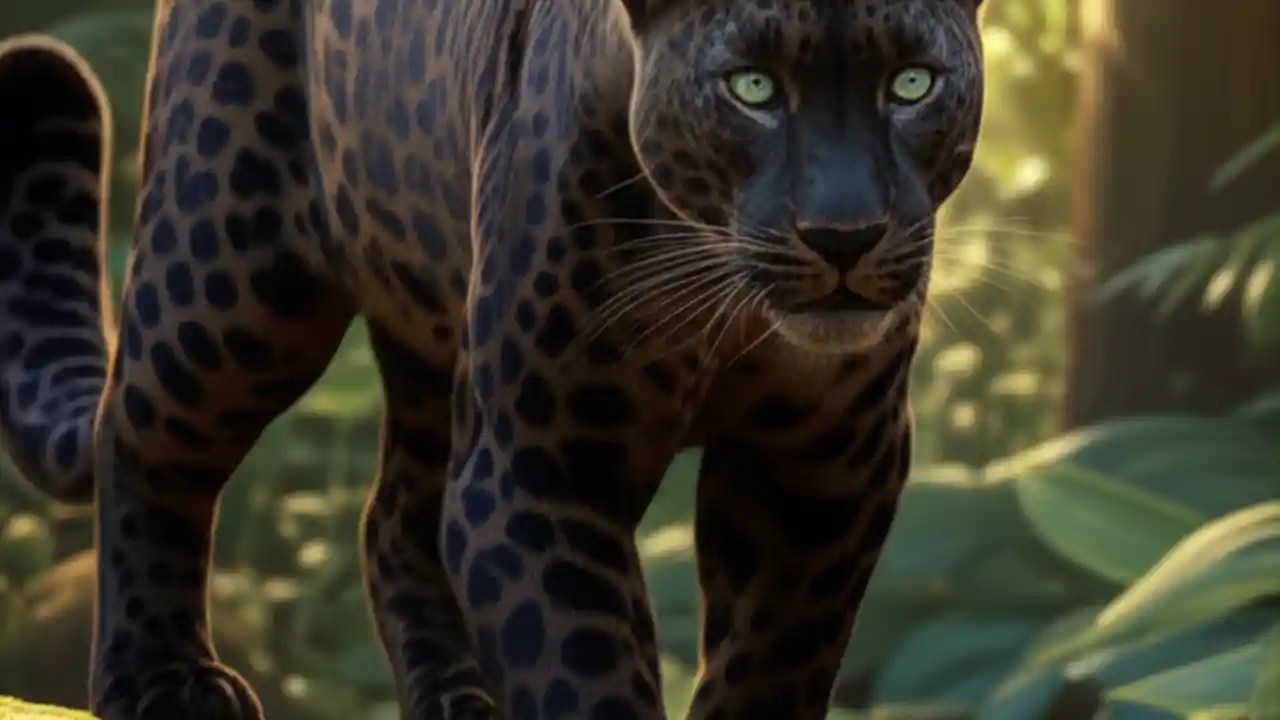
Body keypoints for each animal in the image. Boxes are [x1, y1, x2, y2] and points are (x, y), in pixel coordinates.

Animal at [0, 1, 986, 718]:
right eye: (753, 87)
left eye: (912, 84)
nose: (844, 235)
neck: (719, 312)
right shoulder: (535, 469)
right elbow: (582, 670)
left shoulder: (823, 476)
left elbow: (770, 669)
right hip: (230, 271)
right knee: (143, 436)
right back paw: (161, 680)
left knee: (393, 518)